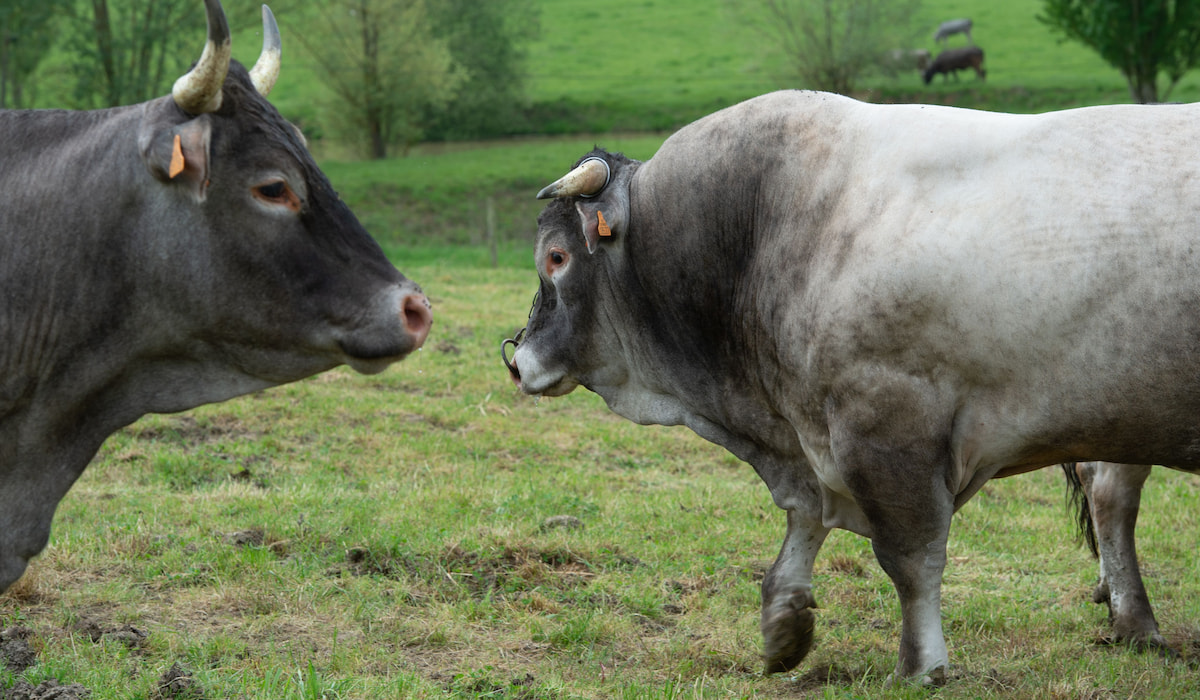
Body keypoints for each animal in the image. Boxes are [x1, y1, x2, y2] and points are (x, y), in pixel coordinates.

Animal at [502, 89, 1200, 684]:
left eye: (556, 258)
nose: (517, 360)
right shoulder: (814, 427)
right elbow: (805, 523)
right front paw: (783, 622)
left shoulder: (886, 430)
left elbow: (910, 557)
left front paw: (922, 665)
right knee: (1112, 494)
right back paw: (1135, 624)